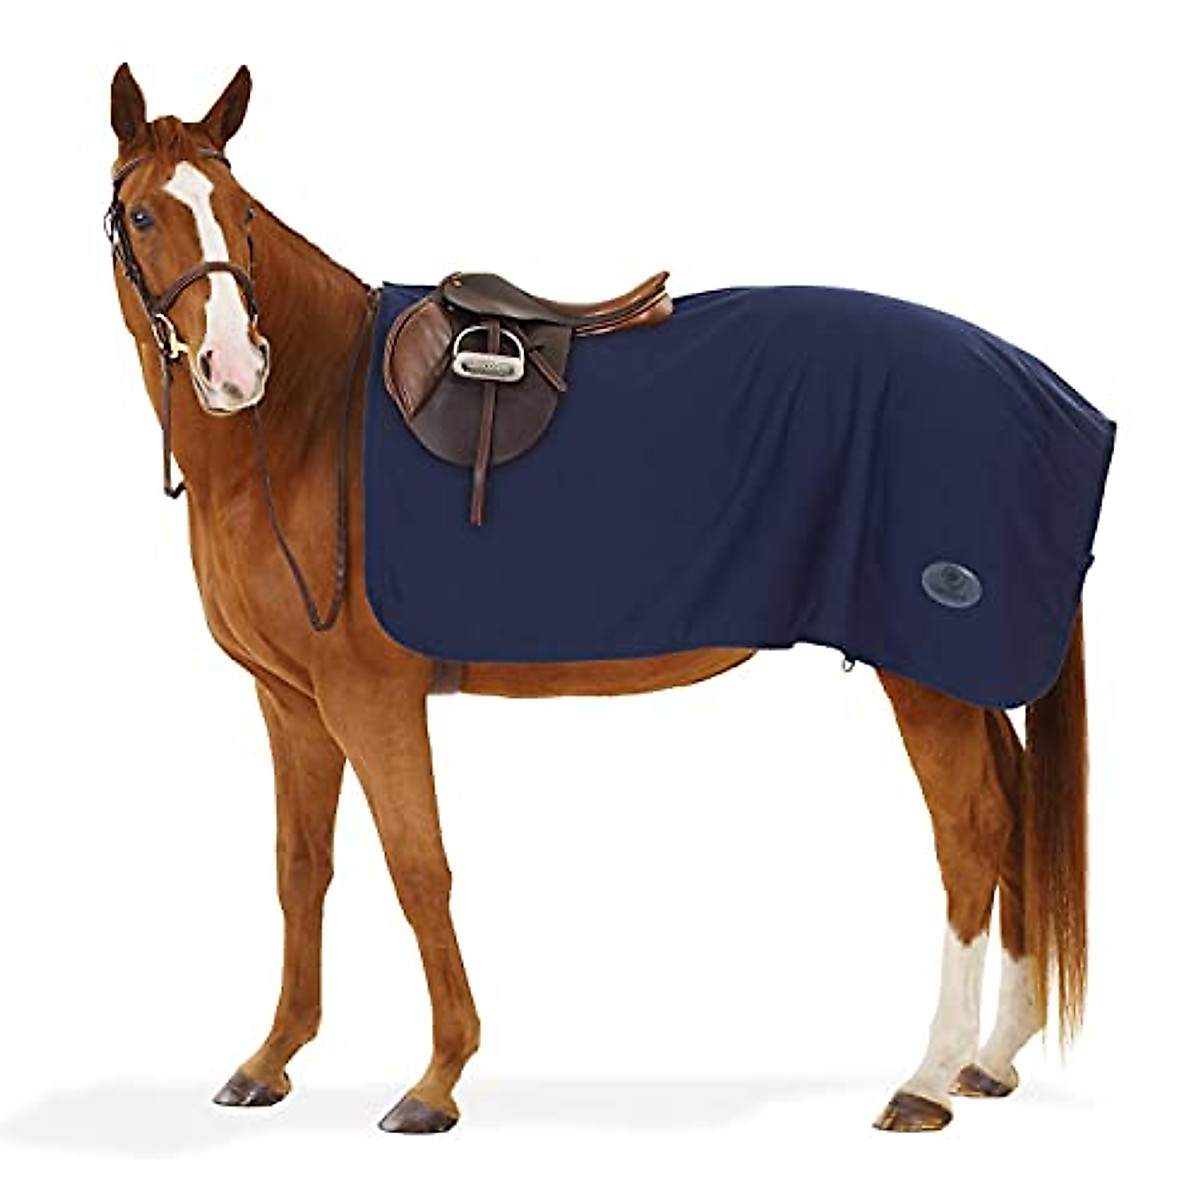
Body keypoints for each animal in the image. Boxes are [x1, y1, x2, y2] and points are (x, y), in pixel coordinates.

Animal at [106, 63, 1090, 1135]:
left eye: (238, 211)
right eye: (145, 215)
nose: (234, 368)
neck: (308, 421)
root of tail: (1038, 388)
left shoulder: (372, 699)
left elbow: (419, 867)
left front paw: (437, 1079)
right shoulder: (291, 701)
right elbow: (300, 869)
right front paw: (272, 1059)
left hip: (925, 672)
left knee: (971, 831)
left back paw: (927, 1077)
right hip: (958, 671)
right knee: (1017, 816)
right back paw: (991, 1057)